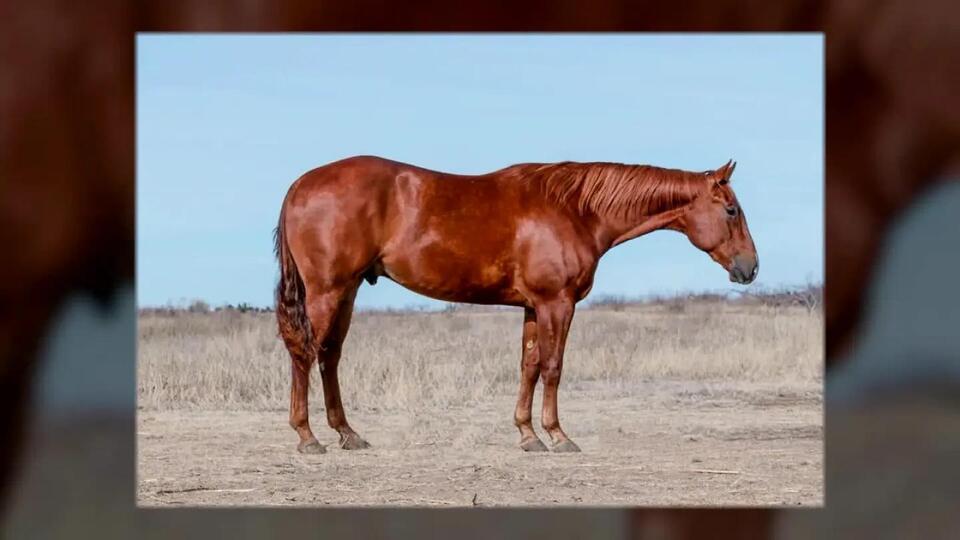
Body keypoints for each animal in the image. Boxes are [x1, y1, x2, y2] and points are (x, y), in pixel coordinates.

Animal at [273, 155, 758, 454]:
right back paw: (307, 436)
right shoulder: (557, 303)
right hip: (327, 290)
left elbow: (529, 365)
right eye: (731, 210)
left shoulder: (532, 307)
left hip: (348, 290)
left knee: (329, 356)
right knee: (304, 353)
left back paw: (347, 433)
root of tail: (300, 184)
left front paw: (527, 435)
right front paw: (558, 435)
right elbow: (554, 366)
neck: (576, 210)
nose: (750, 268)